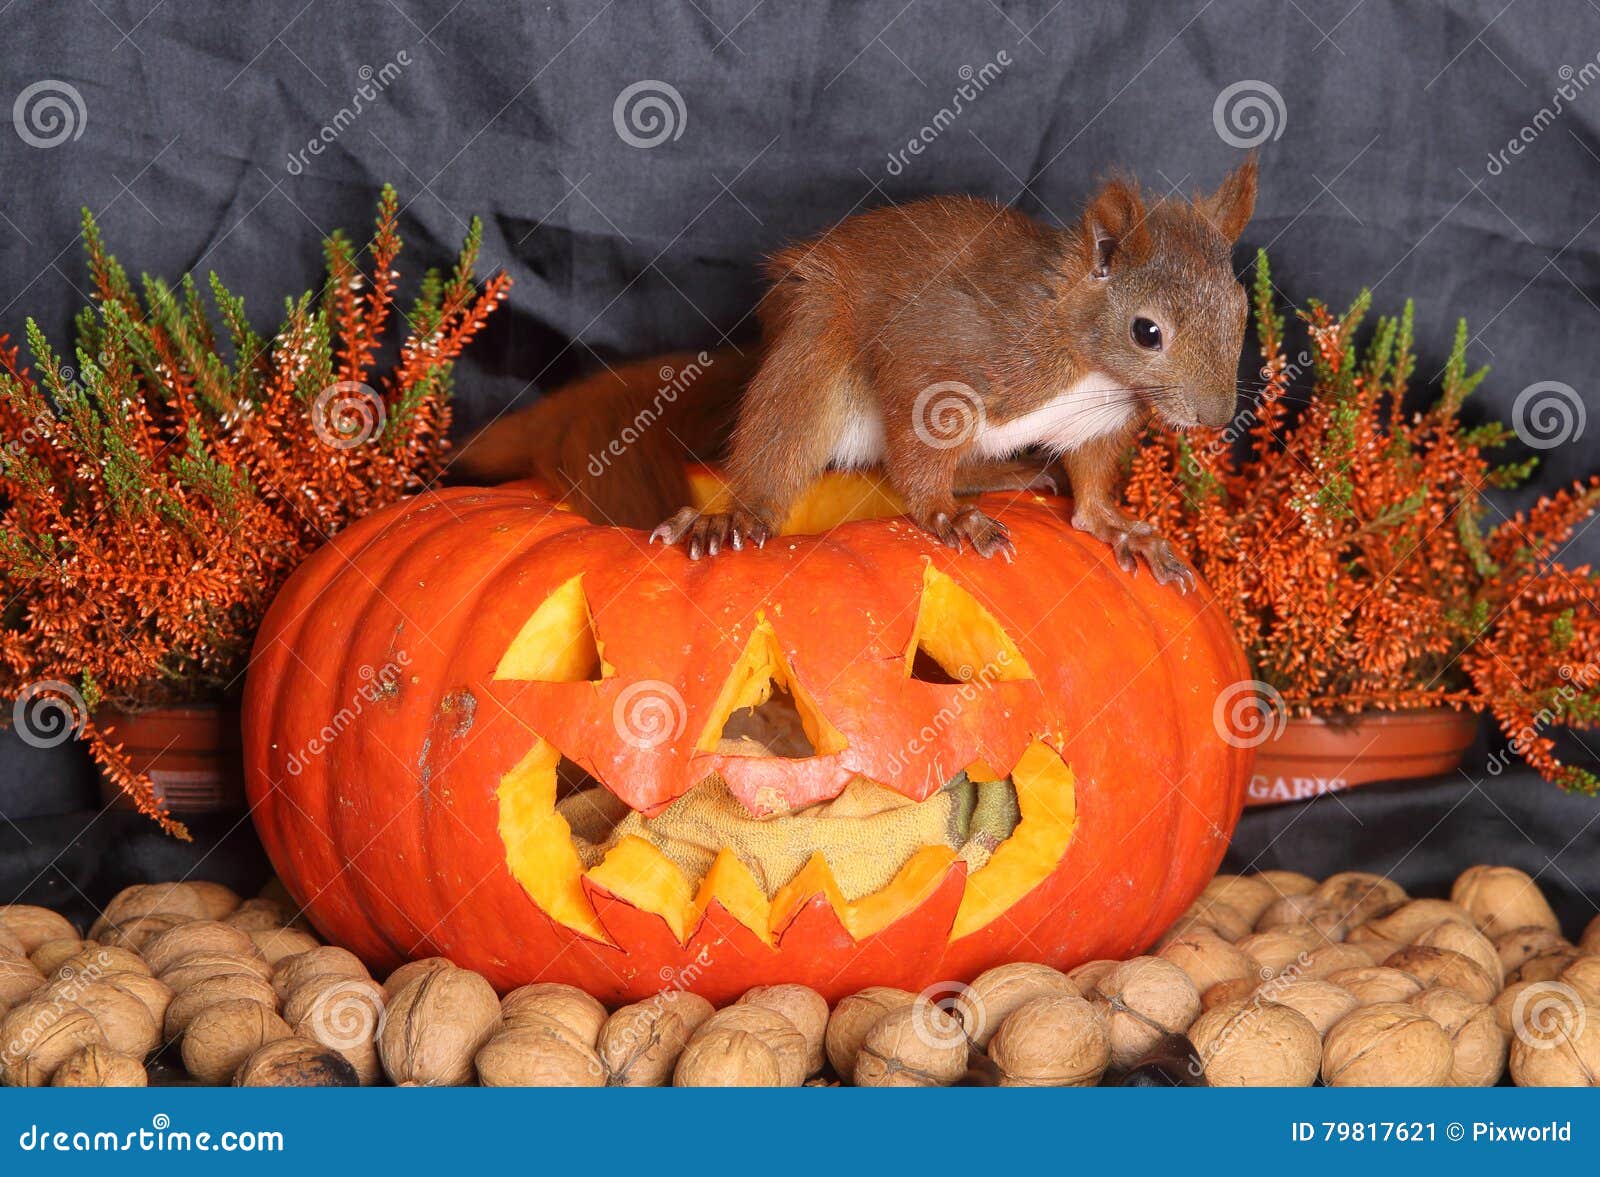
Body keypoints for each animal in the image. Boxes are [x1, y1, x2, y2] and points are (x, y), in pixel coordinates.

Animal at [453, 158, 1257, 591]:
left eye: (1243, 307)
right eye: (1147, 331)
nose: (1217, 417)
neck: (1087, 365)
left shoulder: (1098, 422)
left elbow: (1089, 494)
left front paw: (1124, 529)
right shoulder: (954, 356)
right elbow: (918, 451)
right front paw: (946, 516)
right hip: (815, 355)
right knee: (785, 439)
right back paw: (739, 514)